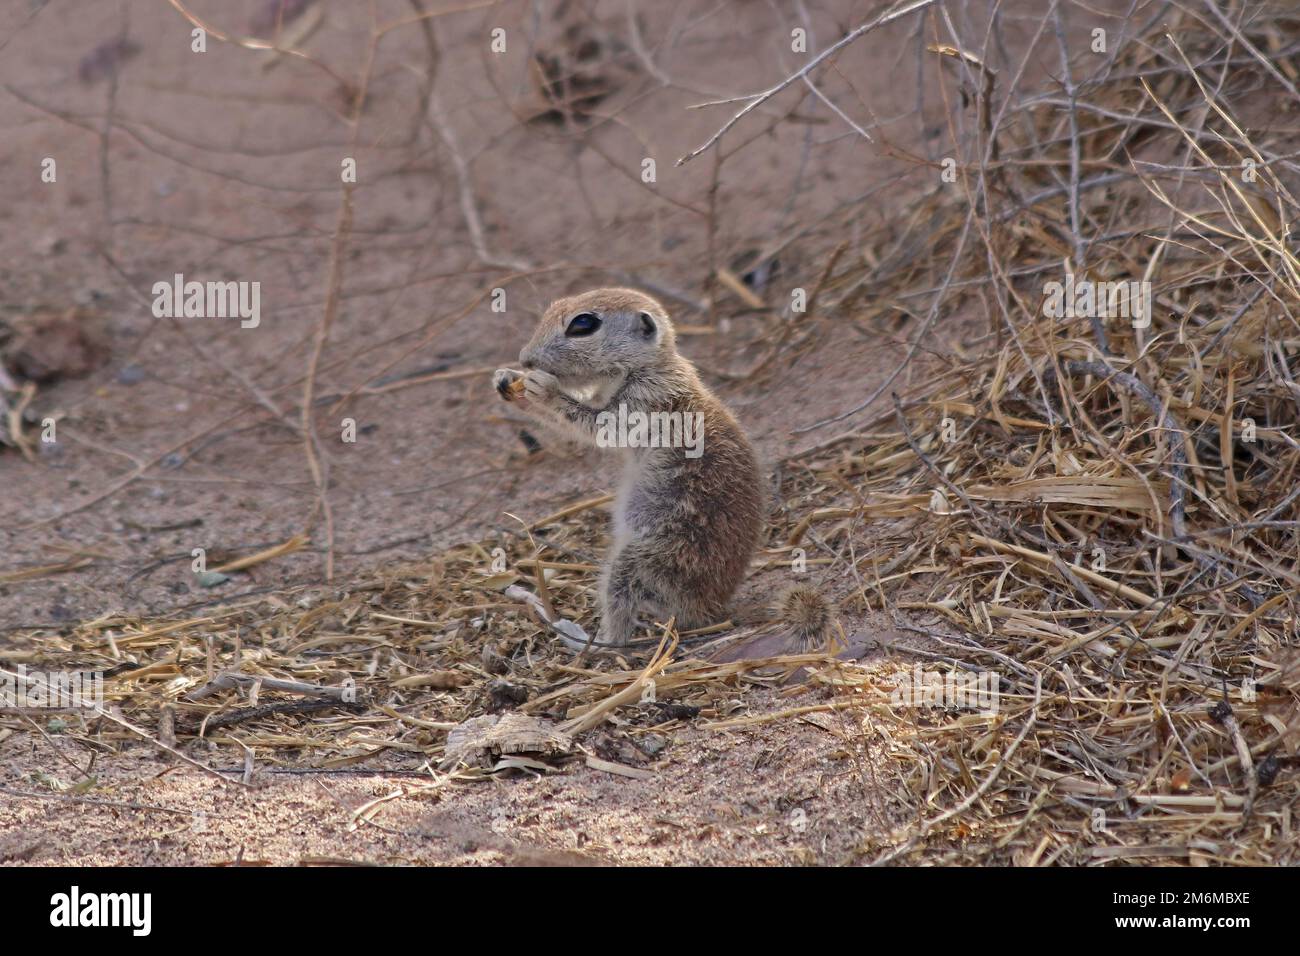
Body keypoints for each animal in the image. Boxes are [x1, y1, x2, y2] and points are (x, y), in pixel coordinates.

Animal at [493, 287, 766, 647]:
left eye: (583, 324)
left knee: (621, 618)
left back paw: (590, 641)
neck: (647, 366)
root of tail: (710, 608)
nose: (525, 358)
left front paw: (543, 389)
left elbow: (595, 425)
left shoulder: (641, 402)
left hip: (640, 561)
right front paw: (507, 381)